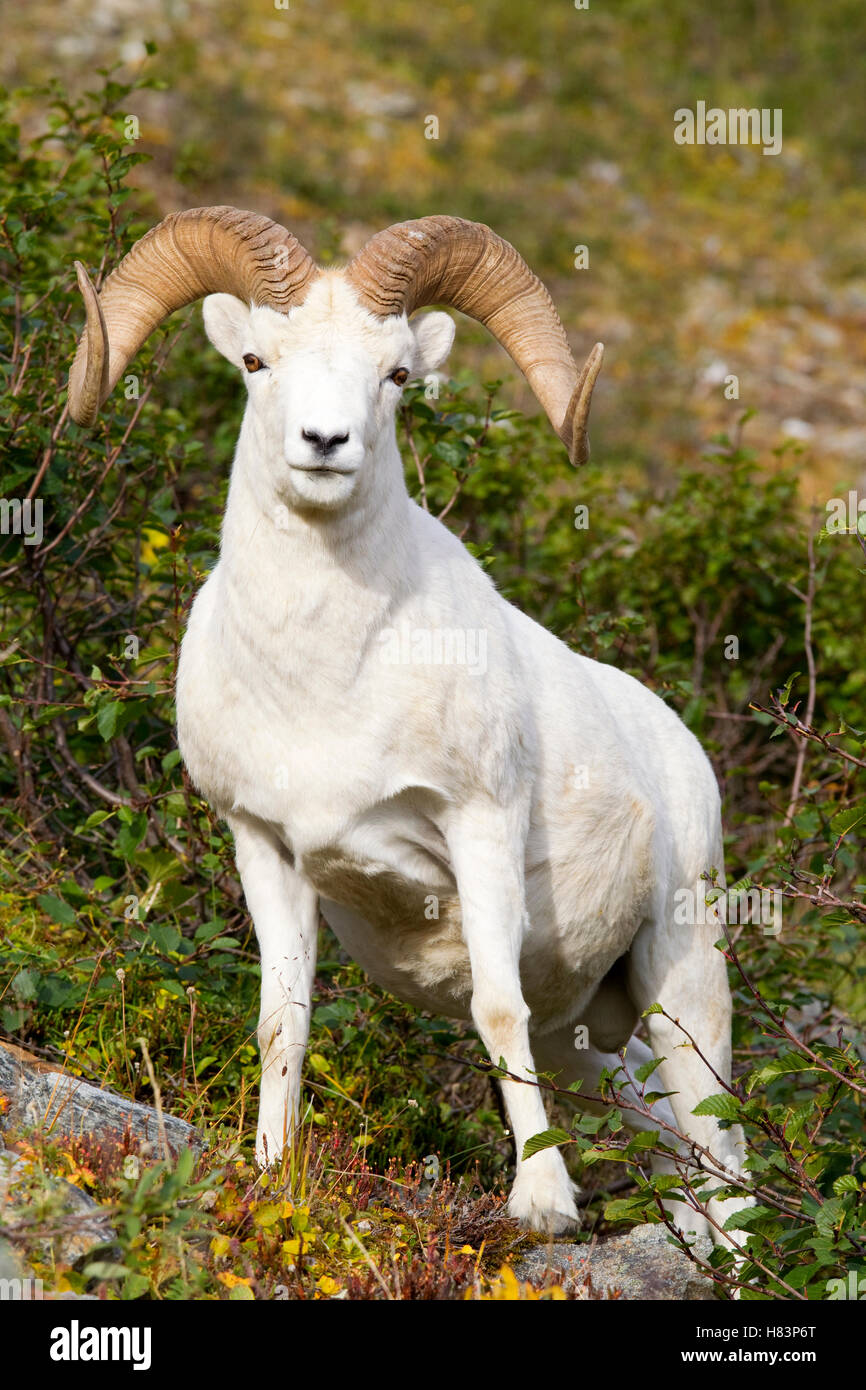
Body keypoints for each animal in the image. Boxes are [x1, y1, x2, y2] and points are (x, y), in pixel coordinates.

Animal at [68, 206, 751, 1240]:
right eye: (257, 361)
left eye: (394, 373)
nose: (325, 441)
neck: (327, 682)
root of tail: (683, 754)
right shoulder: (267, 846)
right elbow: (283, 1019)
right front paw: (270, 1170)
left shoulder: (478, 828)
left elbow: (496, 1010)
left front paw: (543, 1210)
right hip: (592, 1038)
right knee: (674, 1149)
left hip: (683, 971)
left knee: (723, 1149)